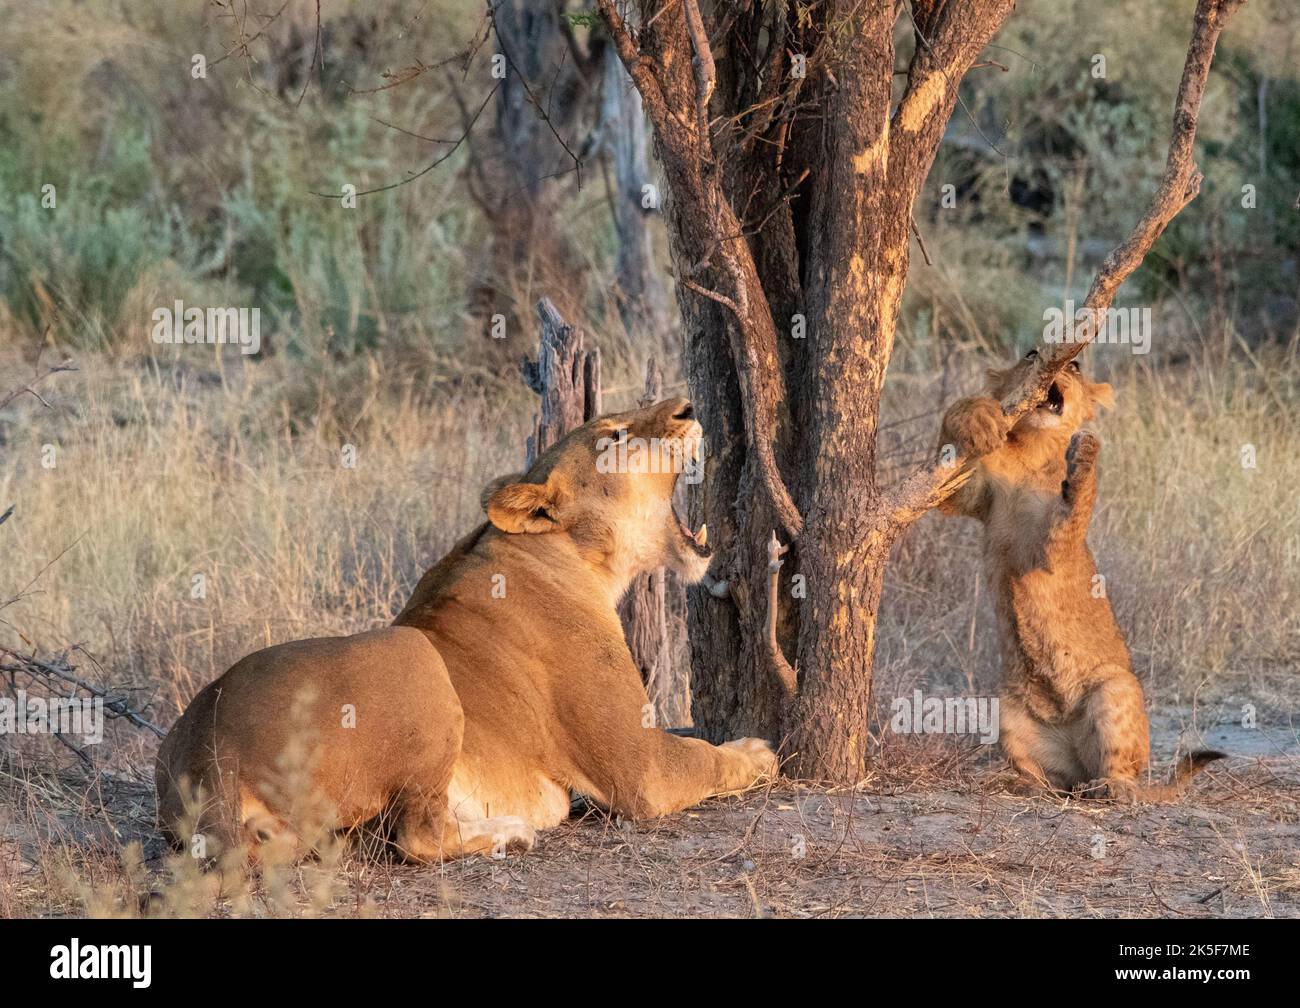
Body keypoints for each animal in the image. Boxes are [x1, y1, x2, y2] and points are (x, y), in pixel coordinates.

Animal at [155, 397, 777, 861]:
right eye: (615, 435)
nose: (688, 405)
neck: (575, 557)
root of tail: (208, 749)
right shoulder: (641, 769)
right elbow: (703, 757)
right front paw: (758, 752)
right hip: (412, 653)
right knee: (416, 837)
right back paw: (509, 831)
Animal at [937, 349, 1223, 802]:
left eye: (1075, 369)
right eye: (1030, 355)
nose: (1057, 360)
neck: (1035, 450)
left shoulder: (1050, 549)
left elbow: (1072, 511)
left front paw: (1085, 455)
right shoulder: (971, 495)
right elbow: (951, 461)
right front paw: (979, 415)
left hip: (1114, 689)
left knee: (1119, 771)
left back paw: (1112, 787)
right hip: (1008, 712)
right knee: (1050, 781)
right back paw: (1017, 783)